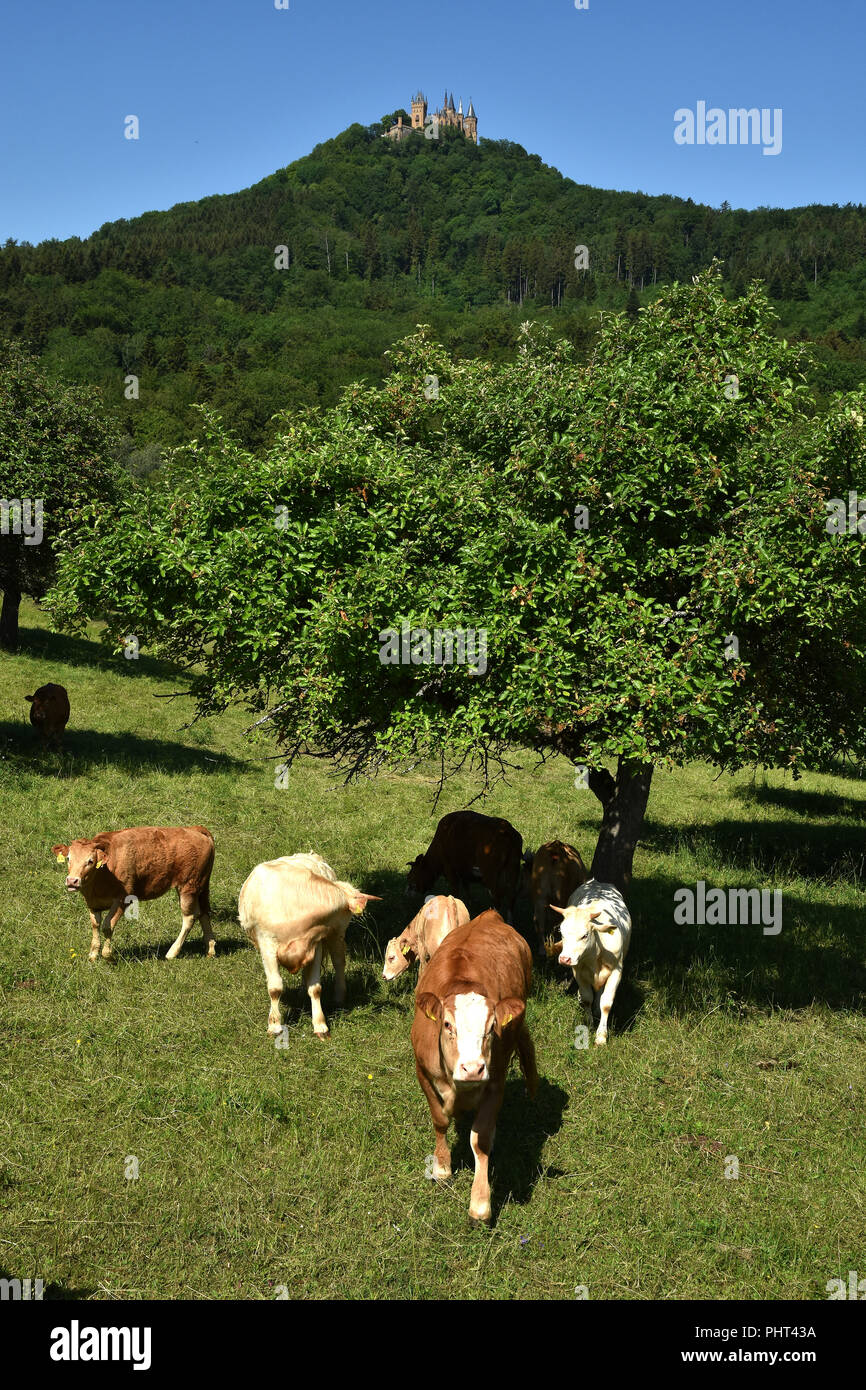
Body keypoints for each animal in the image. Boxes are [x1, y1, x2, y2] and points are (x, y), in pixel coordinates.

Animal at [52, 825, 215, 963]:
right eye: (68, 858)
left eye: (90, 861)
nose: (72, 881)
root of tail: (195, 829)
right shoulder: (93, 903)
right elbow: (95, 925)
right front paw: (93, 955)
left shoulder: (123, 899)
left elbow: (107, 926)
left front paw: (108, 956)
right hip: (201, 885)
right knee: (203, 912)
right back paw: (210, 949)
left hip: (188, 886)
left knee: (190, 917)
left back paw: (172, 953)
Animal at [238, 853, 379, 1039]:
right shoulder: (267, 944)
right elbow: (275, 988)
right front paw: (274, 1025)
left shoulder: (316, 944)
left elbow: (316, 988)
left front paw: (320, 1025)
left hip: (335, 937)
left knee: (339, 963)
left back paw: (339, 996)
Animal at [411, 910, 538, 1224]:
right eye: (447, 1025)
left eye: (491, 1028)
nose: (472, 1068)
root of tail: (489, 916)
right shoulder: (422, 1072)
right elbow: (440, 1120)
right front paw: (442, 1167)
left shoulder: (495, 1082)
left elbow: (480, 1141)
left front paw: (480, 1203)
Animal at [551, 879, 632, 1046]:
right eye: (562, 933)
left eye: (585, 935)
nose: (564, 959)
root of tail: (596, 882)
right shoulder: (578, 971)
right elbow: (587, 998)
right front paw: (589, 1024)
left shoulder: (616, 971)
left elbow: (606, 1003)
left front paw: (601, 1036)